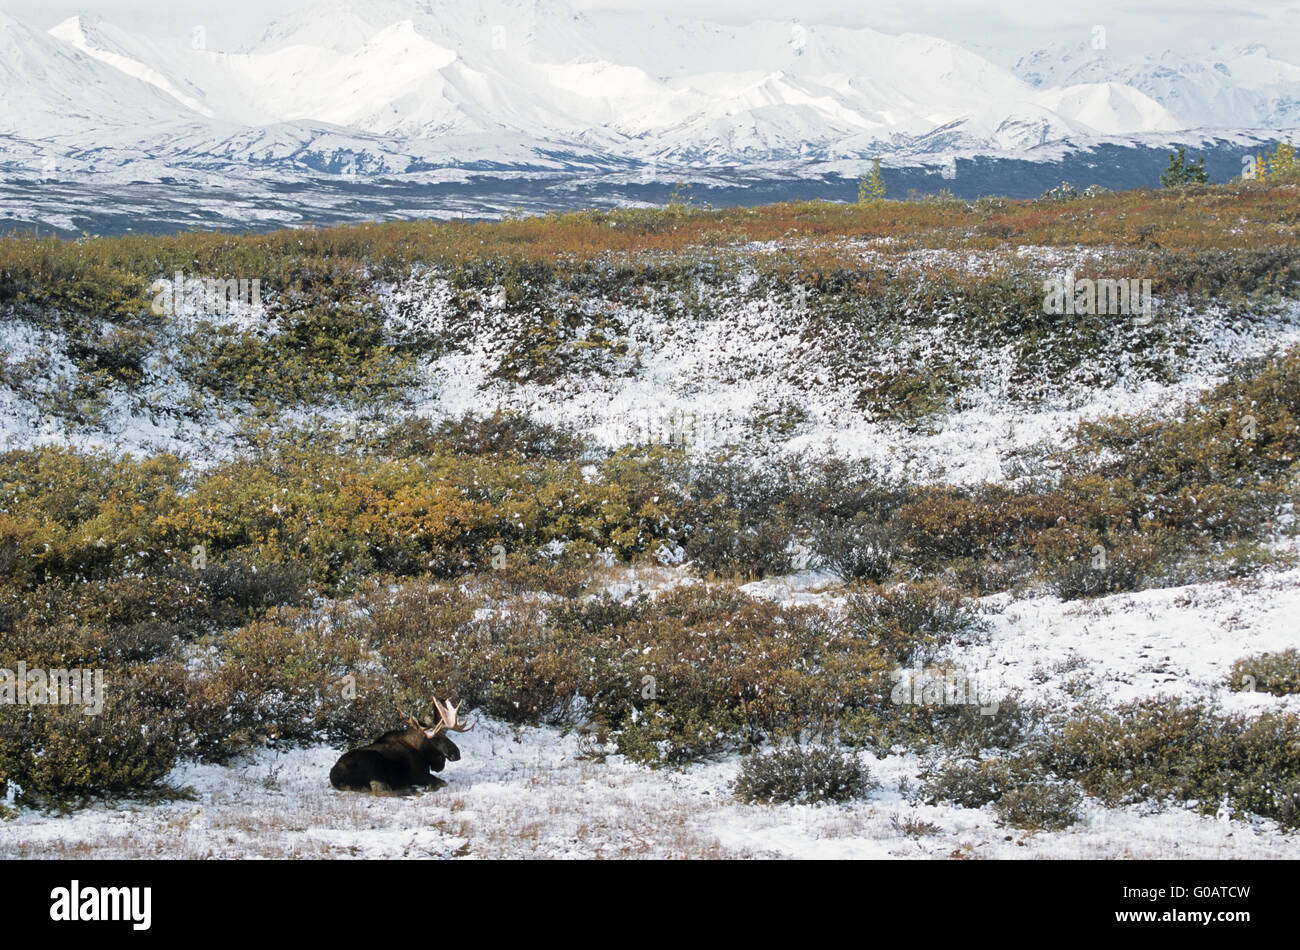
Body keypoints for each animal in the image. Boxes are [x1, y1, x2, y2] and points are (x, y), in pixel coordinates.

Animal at [330, 697, 473, 794]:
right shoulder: (418, 775)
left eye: (446, 735)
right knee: (382, 790)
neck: (423, 753)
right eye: (435, 738)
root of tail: (334, 775)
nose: (456, 754)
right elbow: (442, 783)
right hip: (372, 763)